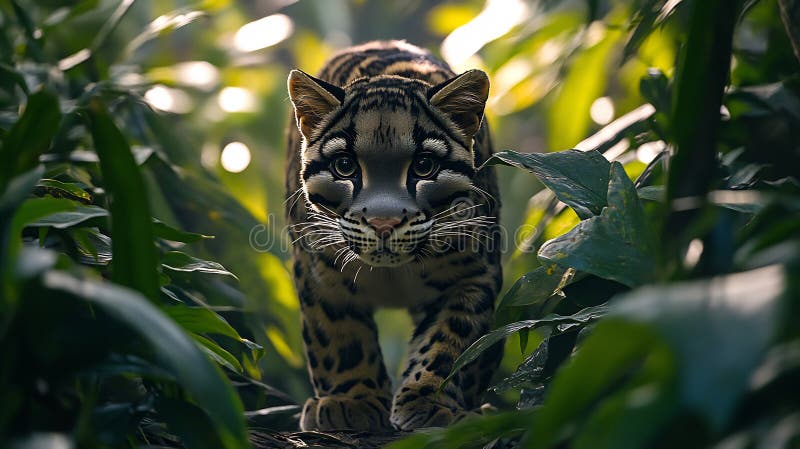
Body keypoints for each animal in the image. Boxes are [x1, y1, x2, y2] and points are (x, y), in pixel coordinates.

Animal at [284, 40, 502, 432]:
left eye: (424, 166)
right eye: (345, 167)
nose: (383, 222)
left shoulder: (473, 275)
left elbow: (451, 341)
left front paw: (430, 400)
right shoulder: (320, 277)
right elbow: (341, 339)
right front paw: (351, 400)